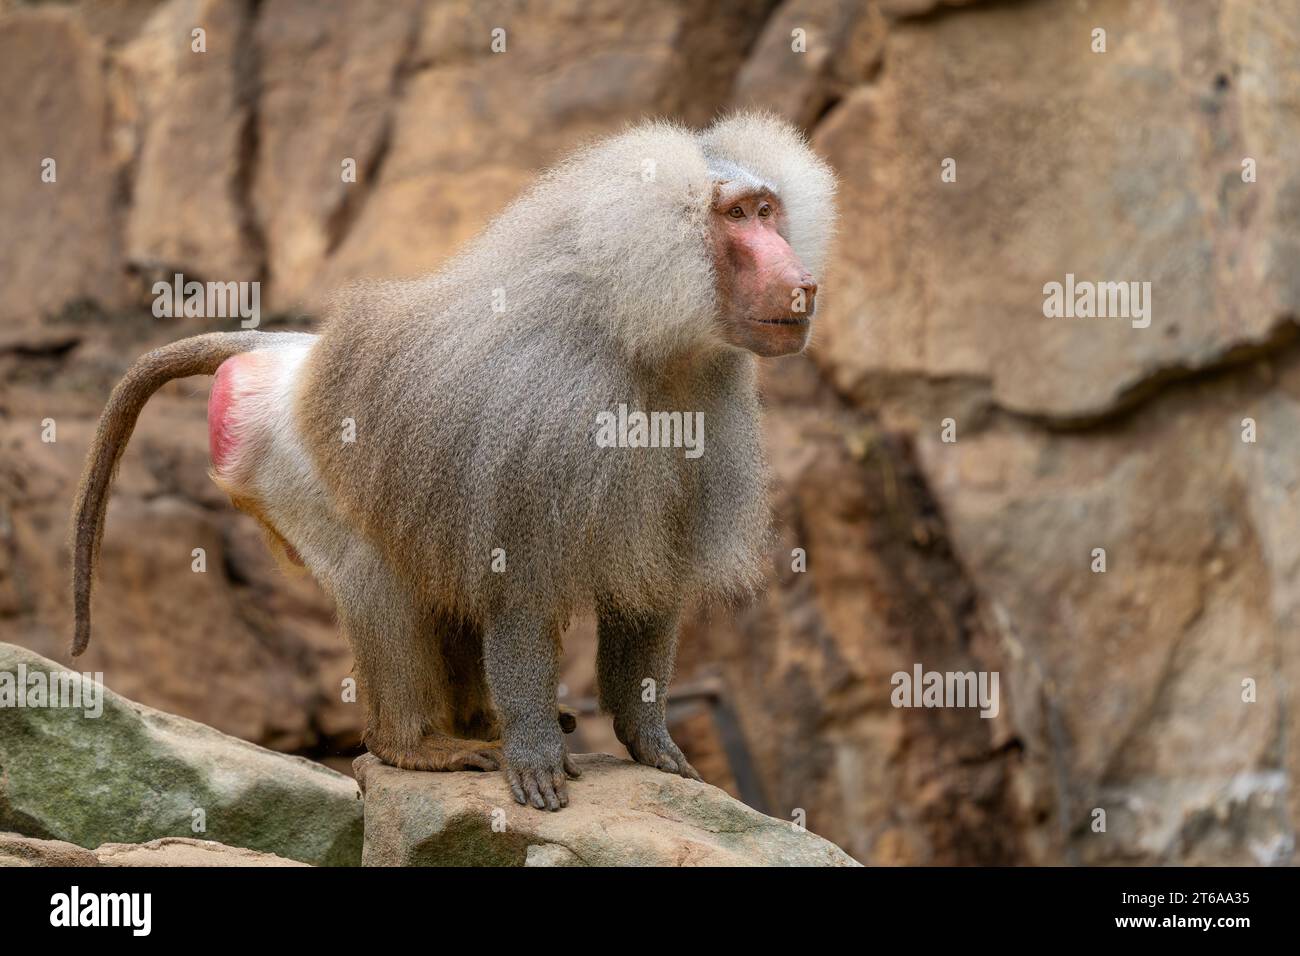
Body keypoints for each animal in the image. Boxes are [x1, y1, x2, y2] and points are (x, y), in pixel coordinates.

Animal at [71, 113, 836, 811]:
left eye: (768, 211)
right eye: (735, 216)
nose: (803, 283)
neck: (642, 331)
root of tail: (292, 353)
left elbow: (648, 590)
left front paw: (651, 744)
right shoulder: (549, 416)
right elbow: (521, 585)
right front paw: (534, 757)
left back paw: (479, 724)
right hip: (287, 464)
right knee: (378, 579)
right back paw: (418, 745)